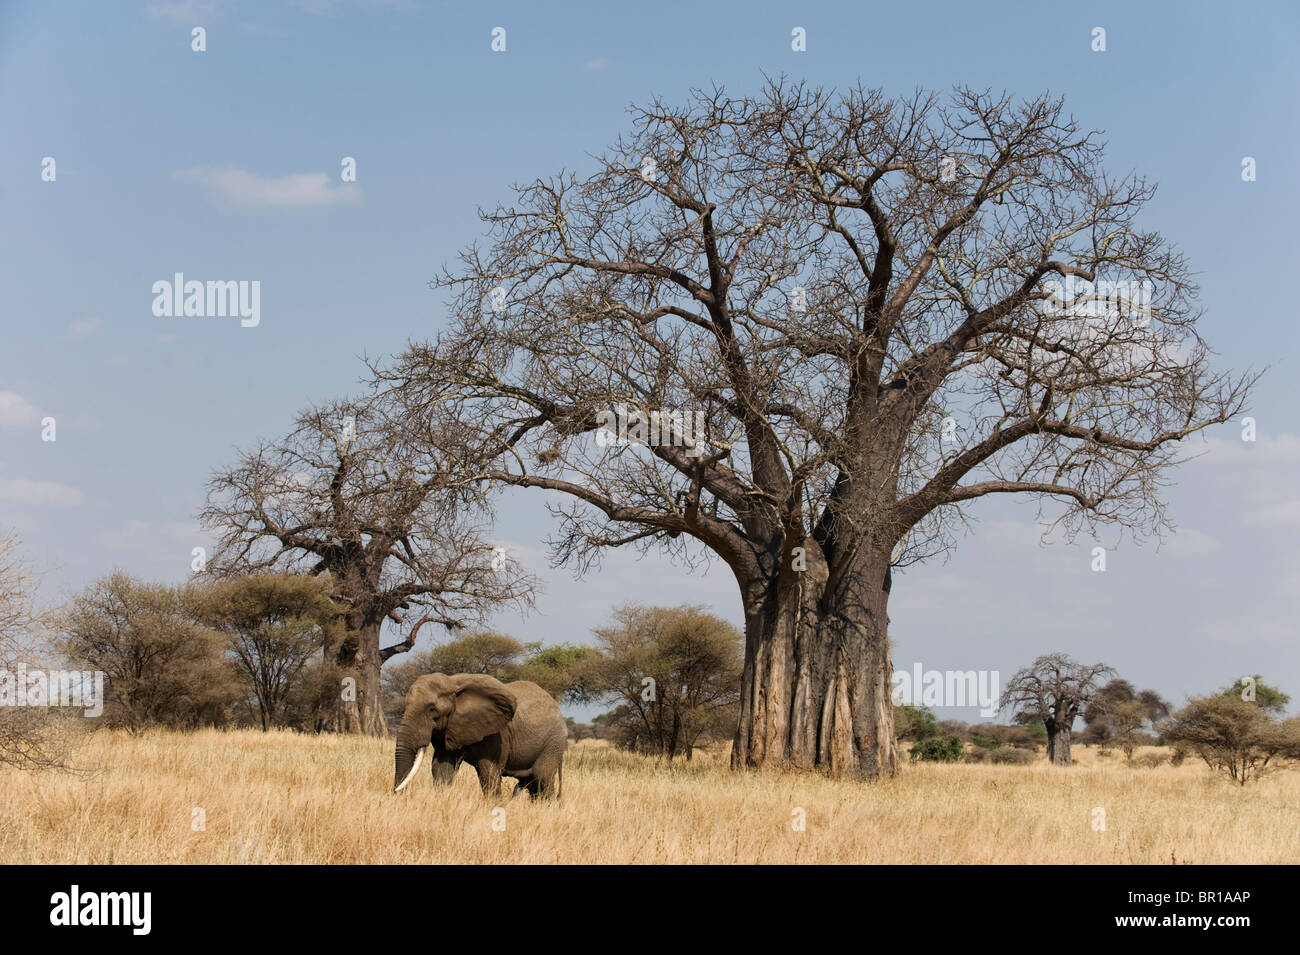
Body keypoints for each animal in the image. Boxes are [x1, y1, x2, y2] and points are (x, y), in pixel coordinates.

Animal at [392, 673, 566, 799]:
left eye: (432, 709)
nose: (395, 793)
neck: (452, 683)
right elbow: (441, 768)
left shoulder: (496, 735)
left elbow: (489, 772)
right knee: (533, 784)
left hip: (554, 741)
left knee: (542, 778)